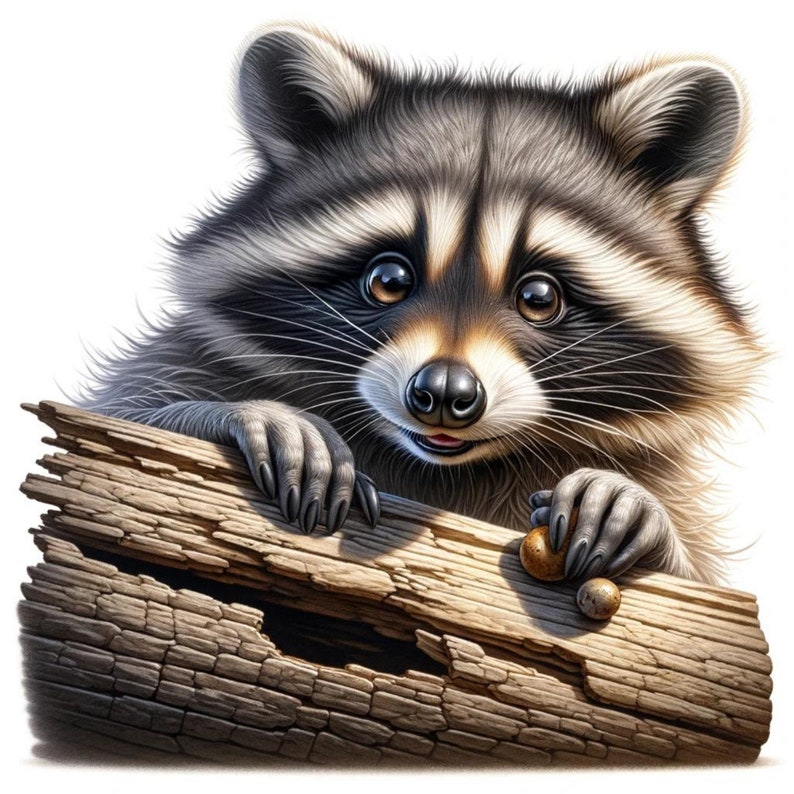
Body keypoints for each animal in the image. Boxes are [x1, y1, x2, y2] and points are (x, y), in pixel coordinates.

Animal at [82, 23, 764, 584]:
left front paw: (636, 509)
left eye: (539, 297)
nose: (442, 393)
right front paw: (244, 413)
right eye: (388, 279)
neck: (444, 470)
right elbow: (125, 415)